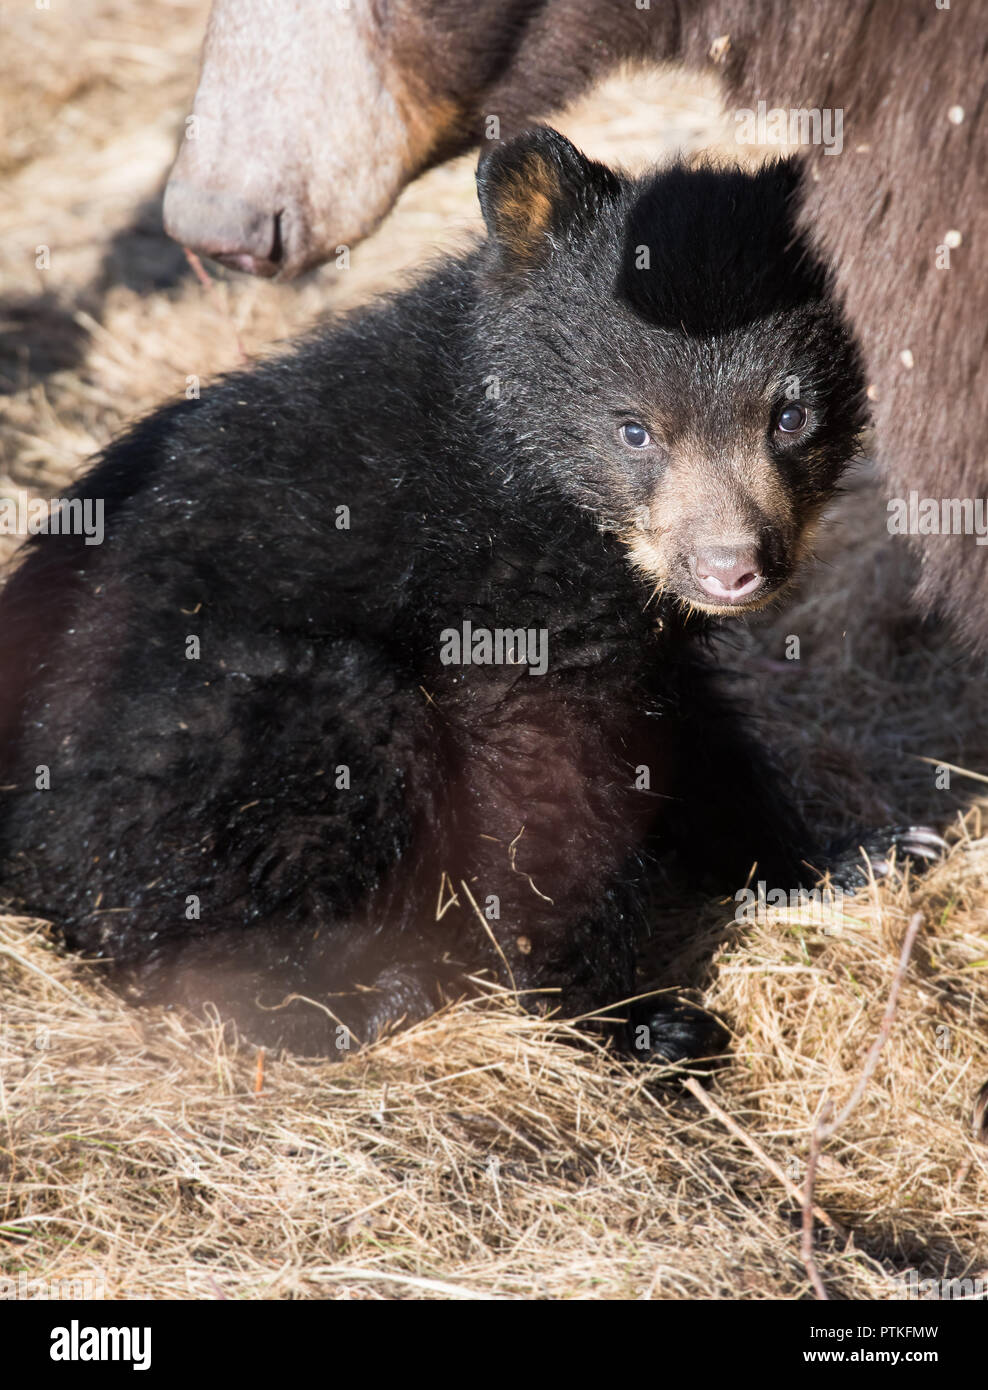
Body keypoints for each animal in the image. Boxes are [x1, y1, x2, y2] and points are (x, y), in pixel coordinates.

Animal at [0, 131, 934, 1061]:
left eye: (790, 416)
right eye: (633, 430)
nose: (733, 569)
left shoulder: (640, 630)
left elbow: (697, 737)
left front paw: (859, 856)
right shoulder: (493, 598)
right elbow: (546, 781)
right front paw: (634, 1022)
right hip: (204, 739)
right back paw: (340, 1000)